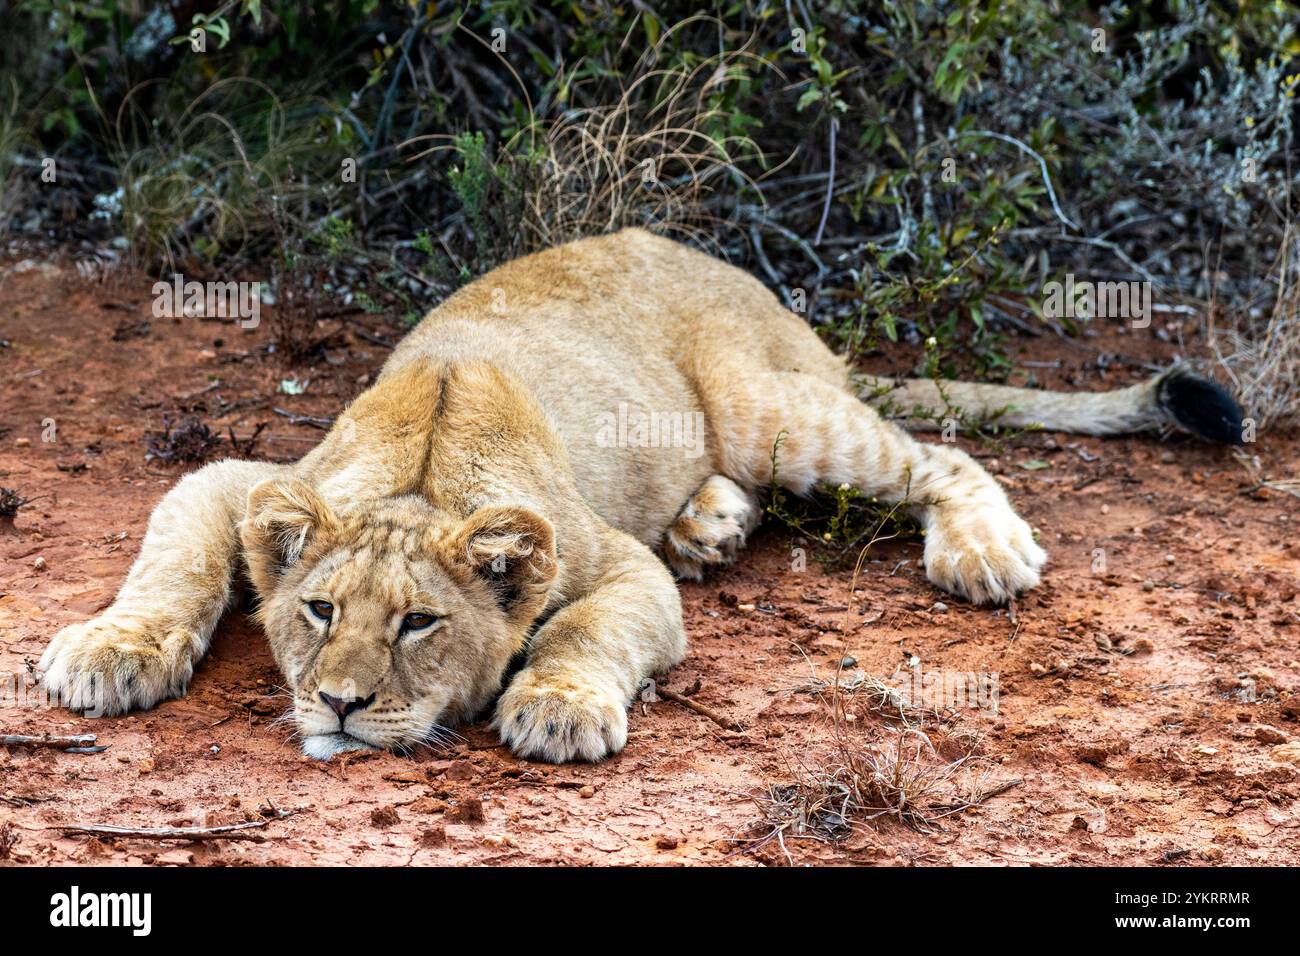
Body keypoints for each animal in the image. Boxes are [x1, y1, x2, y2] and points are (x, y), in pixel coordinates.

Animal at [39, 228, 1244, 762]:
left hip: (772, 406)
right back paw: (711, 524)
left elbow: (586, 626)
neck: (423, 468)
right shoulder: (248, 479)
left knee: (938, 457)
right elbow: (175, 554)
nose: (336, 702)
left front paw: (557, 706)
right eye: (319, 609)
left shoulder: (611, 561)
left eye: (421, 622)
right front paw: (109, 651)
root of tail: (746, 277)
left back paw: (983, 551)